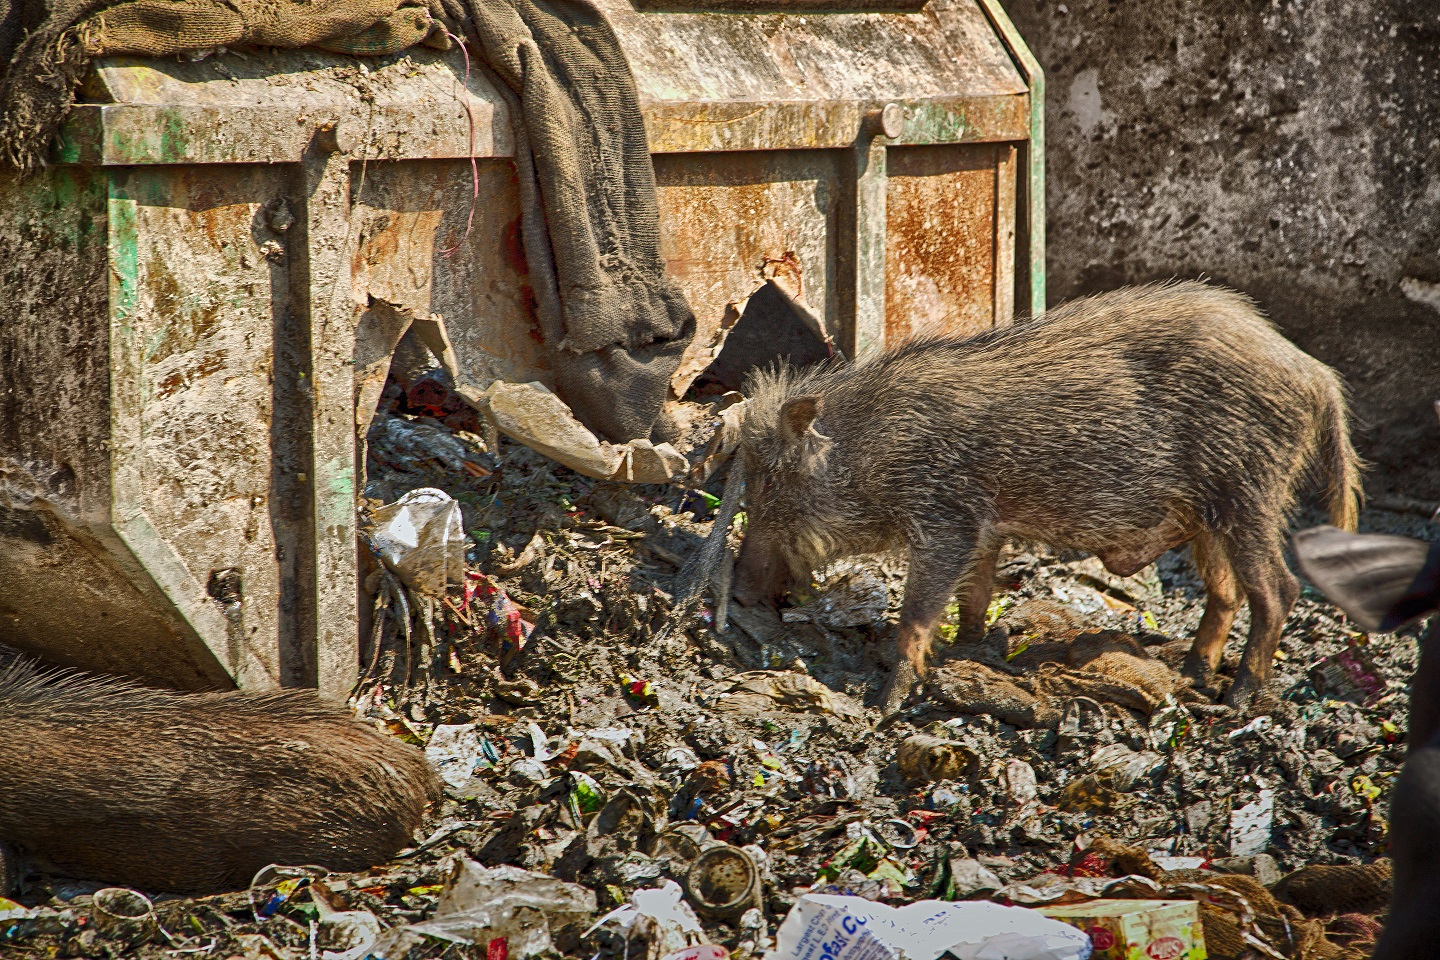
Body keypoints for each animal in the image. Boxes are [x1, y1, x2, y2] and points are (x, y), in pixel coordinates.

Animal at [733, 281, 1363, 711]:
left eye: (771, 481)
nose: (737, 588)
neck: (871, 448)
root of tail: (1317, 375)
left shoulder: (946, 517)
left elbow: (917, 613)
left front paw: (886, 706)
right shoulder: (984, 526)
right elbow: (975, 596)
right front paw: (971, 653)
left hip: (1249, 493)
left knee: (1278, 590)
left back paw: (1237, 701)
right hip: (1212, 512)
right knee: (1226, 593)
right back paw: (1192, 675)